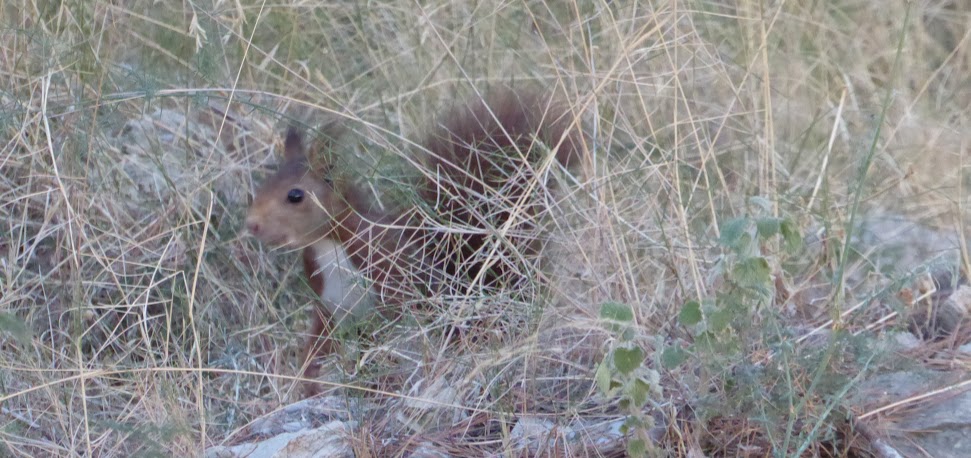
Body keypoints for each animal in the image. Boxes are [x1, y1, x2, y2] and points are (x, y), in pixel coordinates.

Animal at [245, 88, 584, 392]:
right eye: (263, 185)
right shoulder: (327, 304)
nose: (252, 224)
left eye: (295, 196)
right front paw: (308, 381)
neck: (329, 245)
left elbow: (396, 323)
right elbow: (317, 345)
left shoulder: (392, 274)